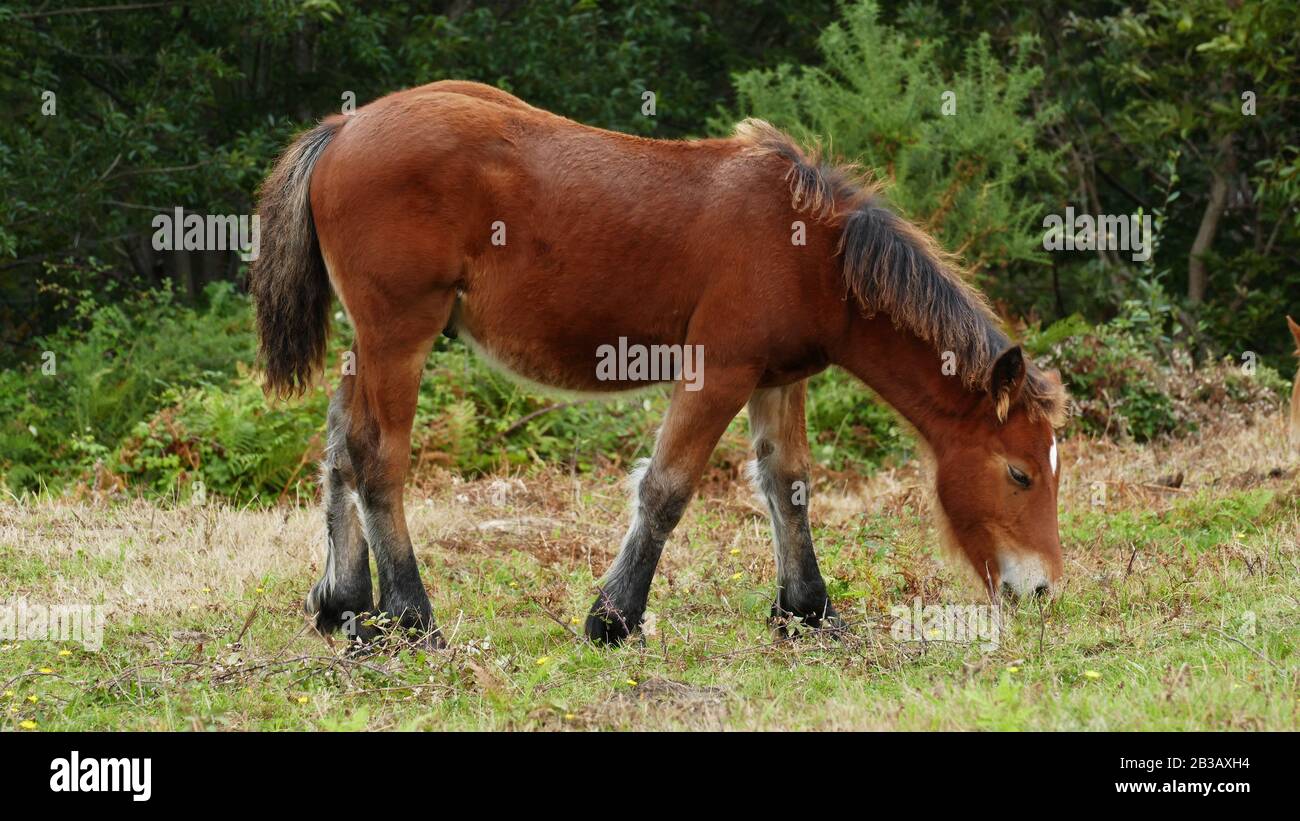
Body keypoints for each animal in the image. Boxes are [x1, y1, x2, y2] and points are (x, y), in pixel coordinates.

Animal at [249, 80, 1068, 646]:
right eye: (1020, 473)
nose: (1041, 591)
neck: (811, 251)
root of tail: (345, 126)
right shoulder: (720, 371)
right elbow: (667, 489)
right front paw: (613, 619)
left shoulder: (780, 380)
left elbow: (789, 485)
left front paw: (808, 611)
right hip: (401, 334)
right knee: (379, 457)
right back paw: (413, 617)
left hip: (369, 342)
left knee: (339, 446)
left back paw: (342, 604)